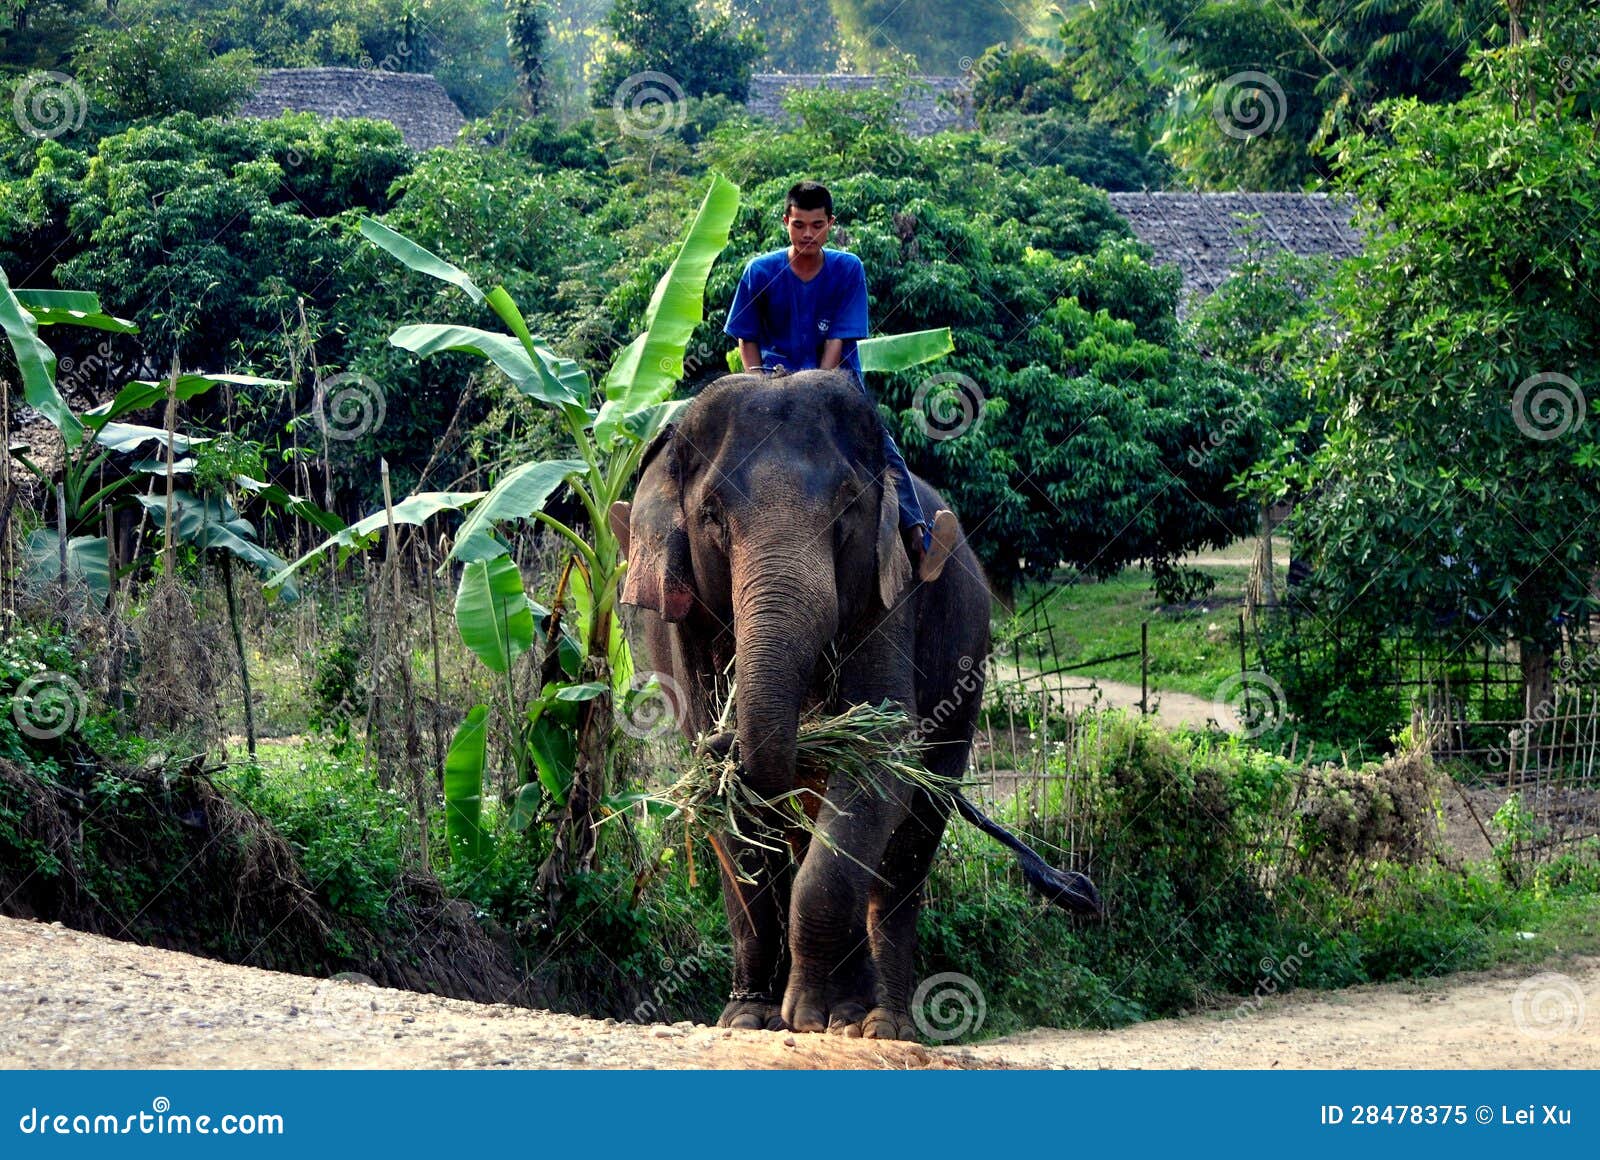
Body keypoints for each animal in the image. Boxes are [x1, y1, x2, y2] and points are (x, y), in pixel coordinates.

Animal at [610, 369, 1099, 1040]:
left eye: (848, 509)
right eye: (711, 514)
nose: (728, 735)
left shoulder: (890, 590)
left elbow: (879, 757)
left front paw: (809, 1019)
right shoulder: (684, 626)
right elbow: (727, 809)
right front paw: (749, 1019)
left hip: (966, 669)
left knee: (906, 848)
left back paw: (877, 1024)